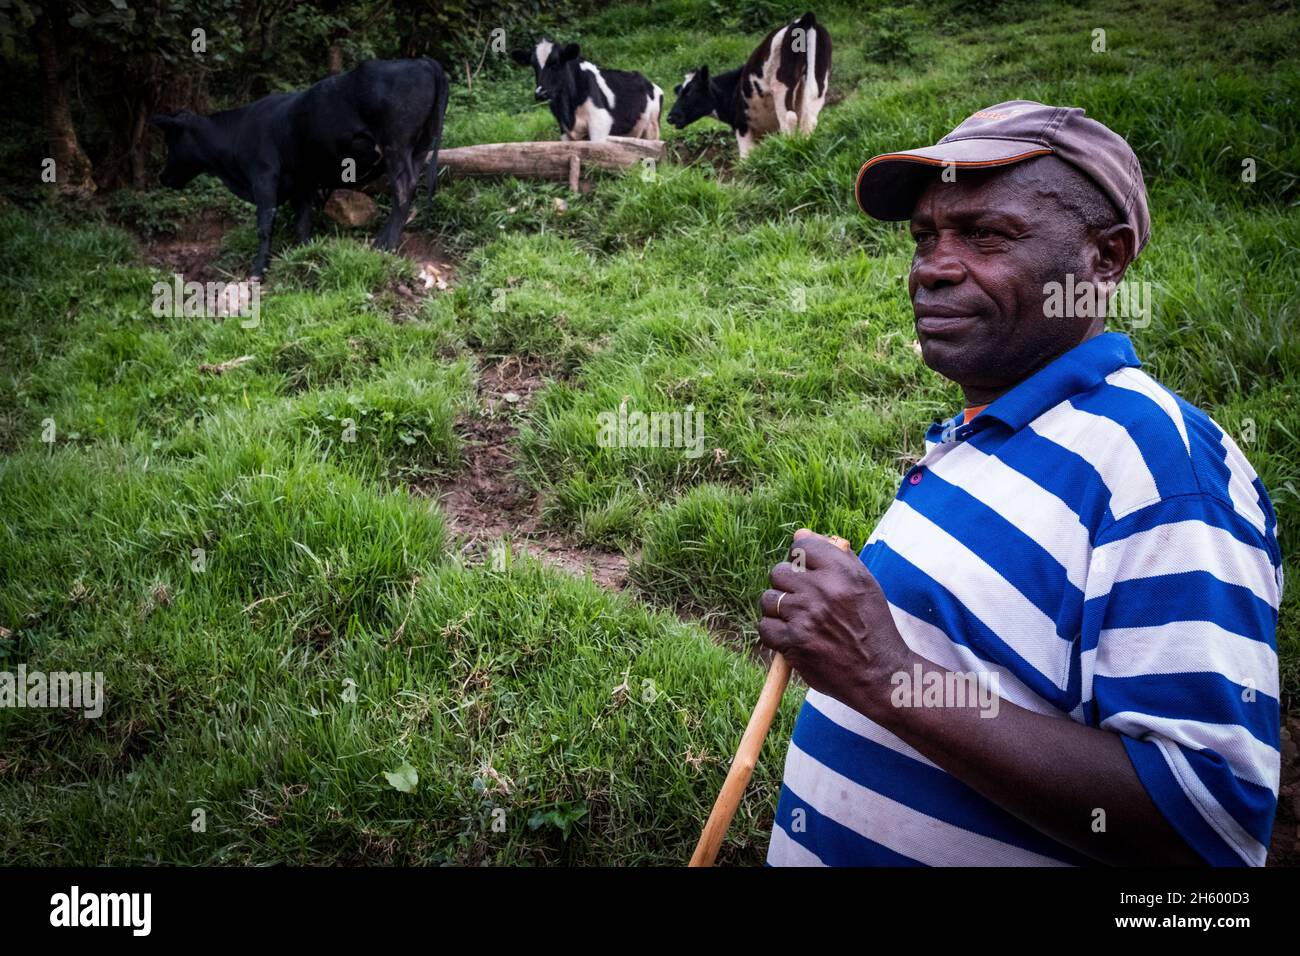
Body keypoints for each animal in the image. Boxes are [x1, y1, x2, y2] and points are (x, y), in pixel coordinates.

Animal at [148, 57, 447, 277]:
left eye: (170, 140)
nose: (162, 176)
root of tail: (423, 61)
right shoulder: (302, 181)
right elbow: (302, 222)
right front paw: (304, 254)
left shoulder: (263, 175)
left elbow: (265, 223)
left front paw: (259, 270)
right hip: (418, 148)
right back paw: (381, 241)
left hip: (396, 145)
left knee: (404, 188)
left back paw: (386, 244)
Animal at [509, 40, 665, 141]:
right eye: (533, 66)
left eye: (556, 63)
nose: (540, 93)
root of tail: (649, 83)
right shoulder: (565, 131)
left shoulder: (600, 123)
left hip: (653, 128)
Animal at [670, 12, 832, 158]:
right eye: (679, 92)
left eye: (690, 91)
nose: (670, 117)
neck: (733, 89)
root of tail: (805, 19)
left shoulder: (742, 126)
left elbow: (746, 158)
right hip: (817, 84)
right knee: (809, 118)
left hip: (781, 86)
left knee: (789, 118)